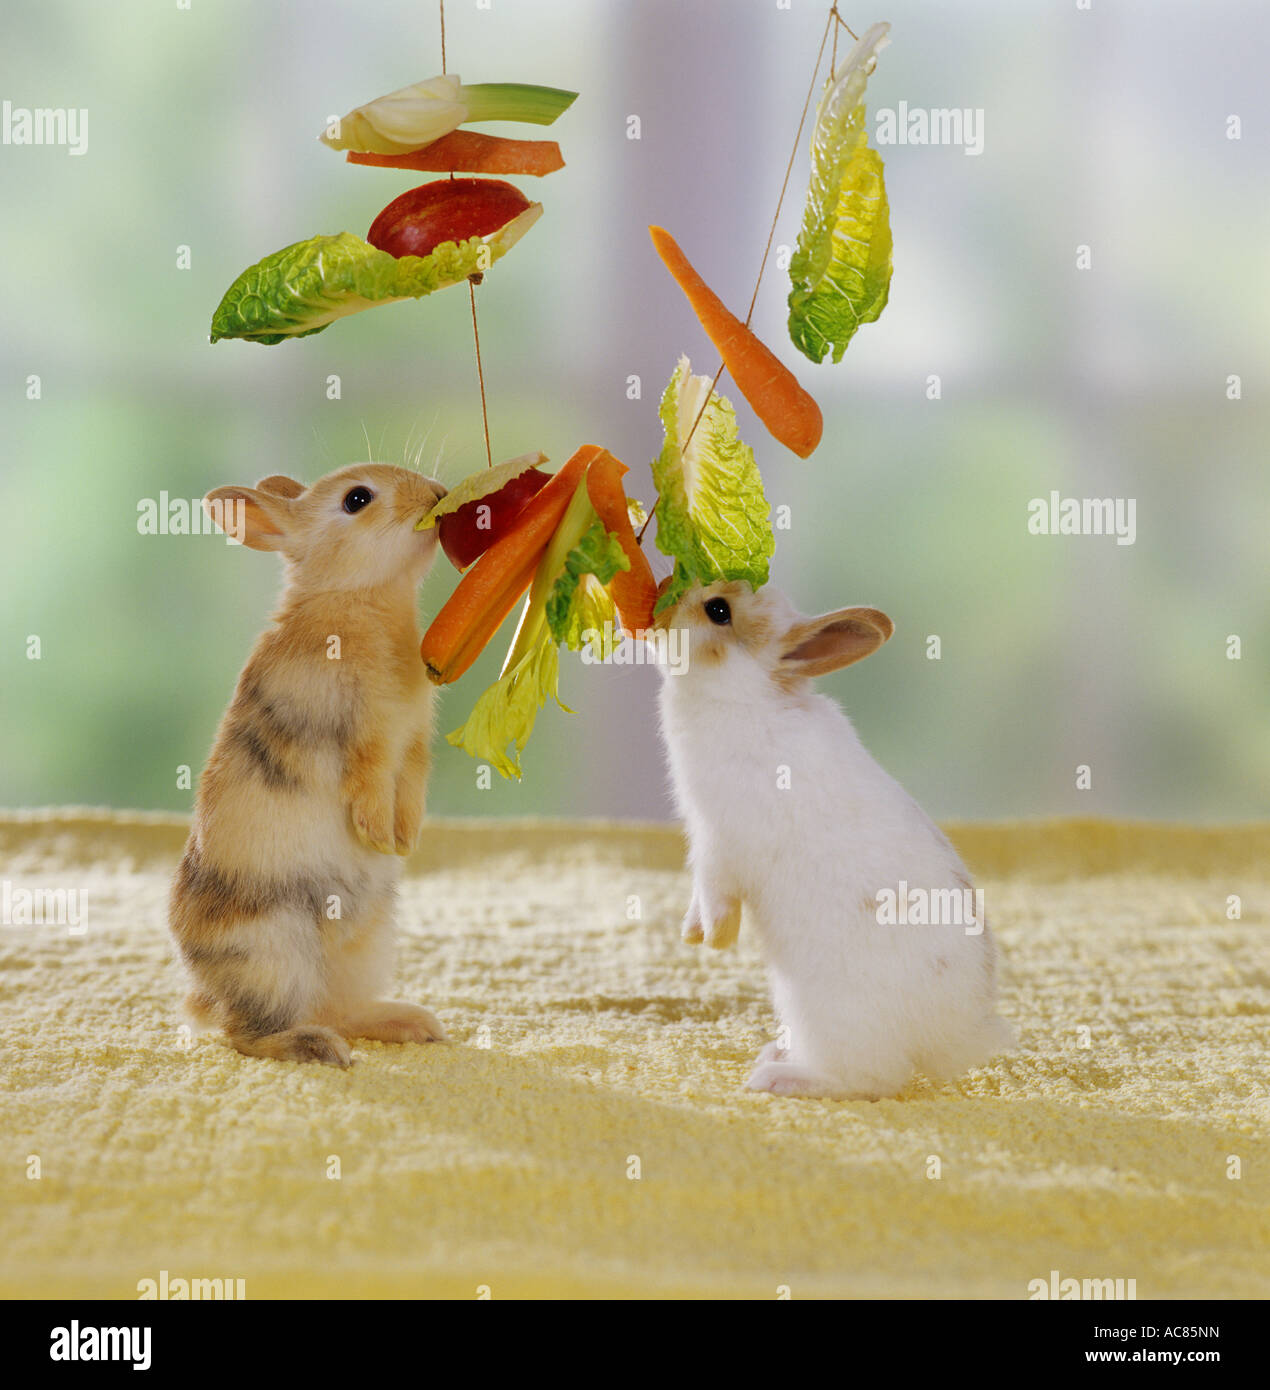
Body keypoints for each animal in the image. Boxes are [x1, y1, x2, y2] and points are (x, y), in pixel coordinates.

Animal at [169, 463, 450, 1067]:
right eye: (357, 499)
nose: (438, 495)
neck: (358, 597)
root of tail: (206, 991)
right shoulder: (359, 732)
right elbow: (369, 775)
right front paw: (377, 833)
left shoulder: (415, 738)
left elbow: (413, 780)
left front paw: (404, 840)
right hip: (273, 953)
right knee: (246, 1034)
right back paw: (318, 1049)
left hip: (365, 948)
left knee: (337, 1008)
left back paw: (412, 1024)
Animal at [655, 578, 1015, 1100]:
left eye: (718, 611)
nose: (660, 600)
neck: (744, 695)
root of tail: (957, 1035)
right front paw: (693, 932)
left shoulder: (716, 844)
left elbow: (714, 893)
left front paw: (711, 938)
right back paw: (776, 1054)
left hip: (825, 1015)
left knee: (871, 1079)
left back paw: (779, 1077)